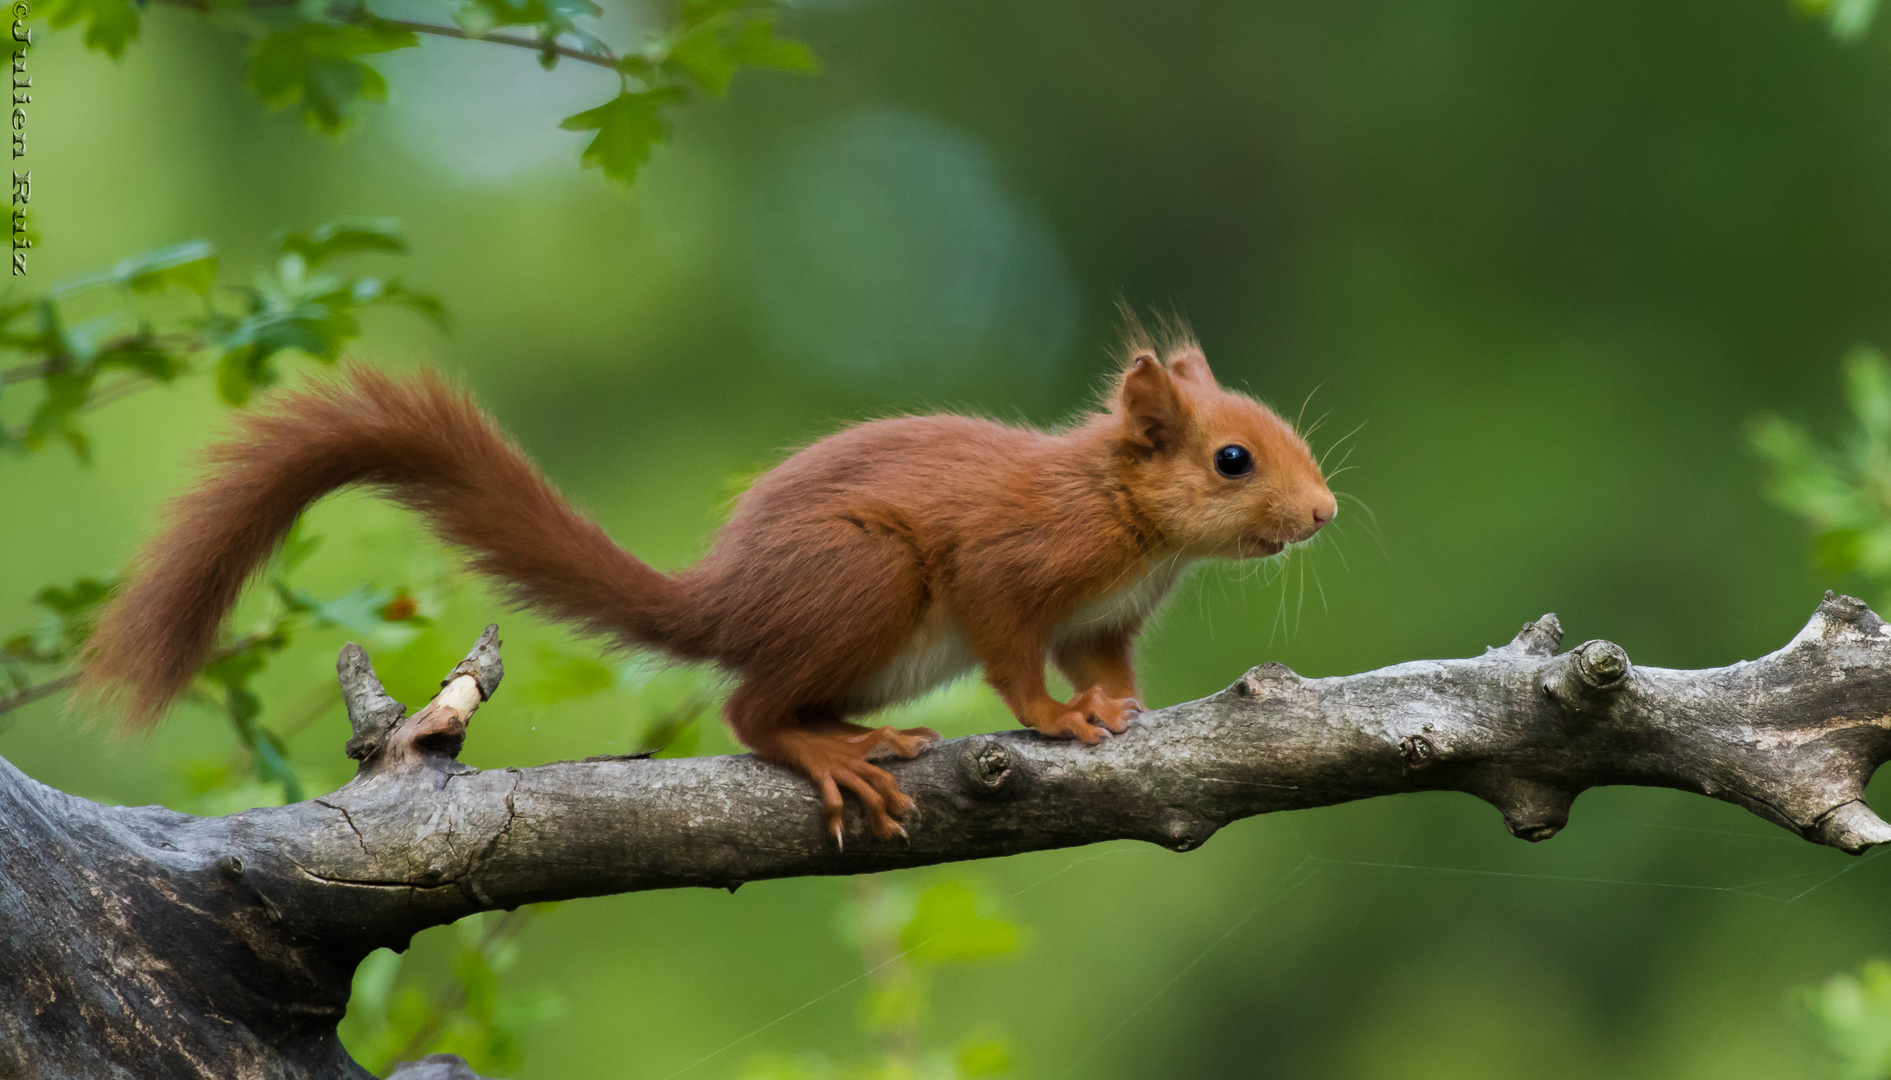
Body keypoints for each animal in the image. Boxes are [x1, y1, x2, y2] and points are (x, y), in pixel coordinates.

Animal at [81, 329, 1338, 843]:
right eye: (1232, 460)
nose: (1323, 515)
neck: (1129, 519)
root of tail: (726, 602)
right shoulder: (1011, 564)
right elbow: (1014, 656)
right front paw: (1059, 720)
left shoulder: (1106, 615)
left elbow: (1104, 662)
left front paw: (1117, 708)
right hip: (867, 577)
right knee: (748, 710)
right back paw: (829, 752)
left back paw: (857, 737)